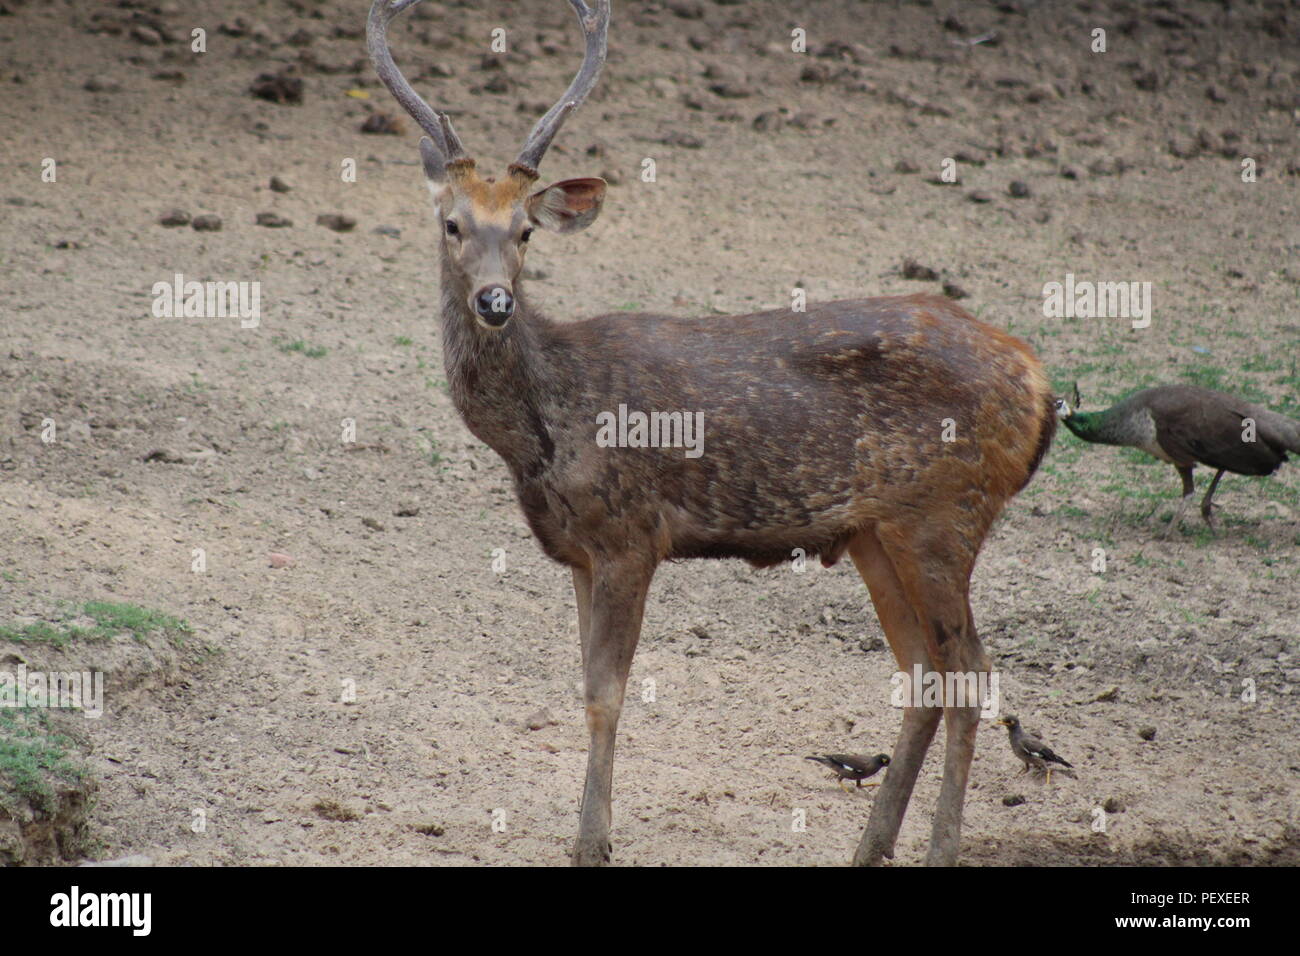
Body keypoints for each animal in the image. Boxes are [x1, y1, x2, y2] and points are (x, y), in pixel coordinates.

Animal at [367, 0, 1057, 866]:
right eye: (452, 225)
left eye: (526, 232)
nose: (495, 302)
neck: (541, 430)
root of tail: (1040, 381)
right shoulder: (580, 551)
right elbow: (584, 684)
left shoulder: (631, 533)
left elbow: (606, 694)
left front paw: (592, 843)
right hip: (877, 533)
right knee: (924, 675)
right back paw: (870, 848)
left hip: (944, 514)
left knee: (968, 675)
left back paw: (937, 849)